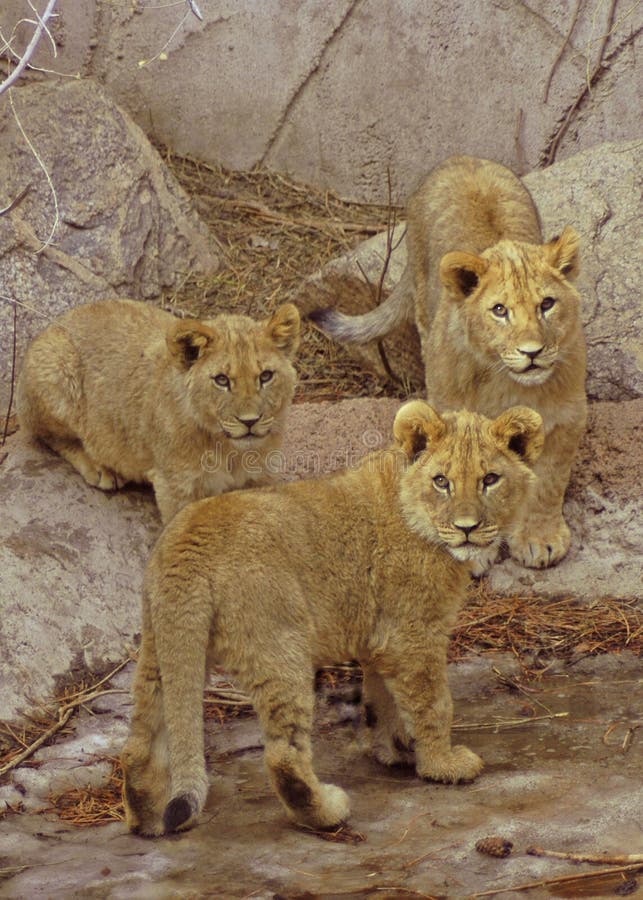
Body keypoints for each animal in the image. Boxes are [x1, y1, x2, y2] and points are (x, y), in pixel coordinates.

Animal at [17, 299, 300, 522]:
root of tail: (51, 326)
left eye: (265, 376)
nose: (250, 421)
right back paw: (102, 469)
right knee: (47, 436)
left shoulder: (260, 478)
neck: (232, 452)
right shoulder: (176, 487)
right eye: (221, 380)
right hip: (53, 366)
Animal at [121, 399, 544, 835]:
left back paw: (148, 820)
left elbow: (382, 697)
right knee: (283, 756)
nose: (467, 528)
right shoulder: (413, 634)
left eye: (490, 479)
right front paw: (442, 765)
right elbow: (432, 702)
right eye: (441, 481)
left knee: (139, 743)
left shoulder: (381, 638)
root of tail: (189, 539)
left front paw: (395, 750)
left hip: (162, 642)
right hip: (279, 645)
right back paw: (328, 810)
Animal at [310, 155, 587, 569]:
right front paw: (471, 547)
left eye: (547, 304)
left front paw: (540, 538)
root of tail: (463, 159)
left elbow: (549, 481)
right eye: (500, 310)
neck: (508, 383)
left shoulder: (567, 416)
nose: (532, 352)